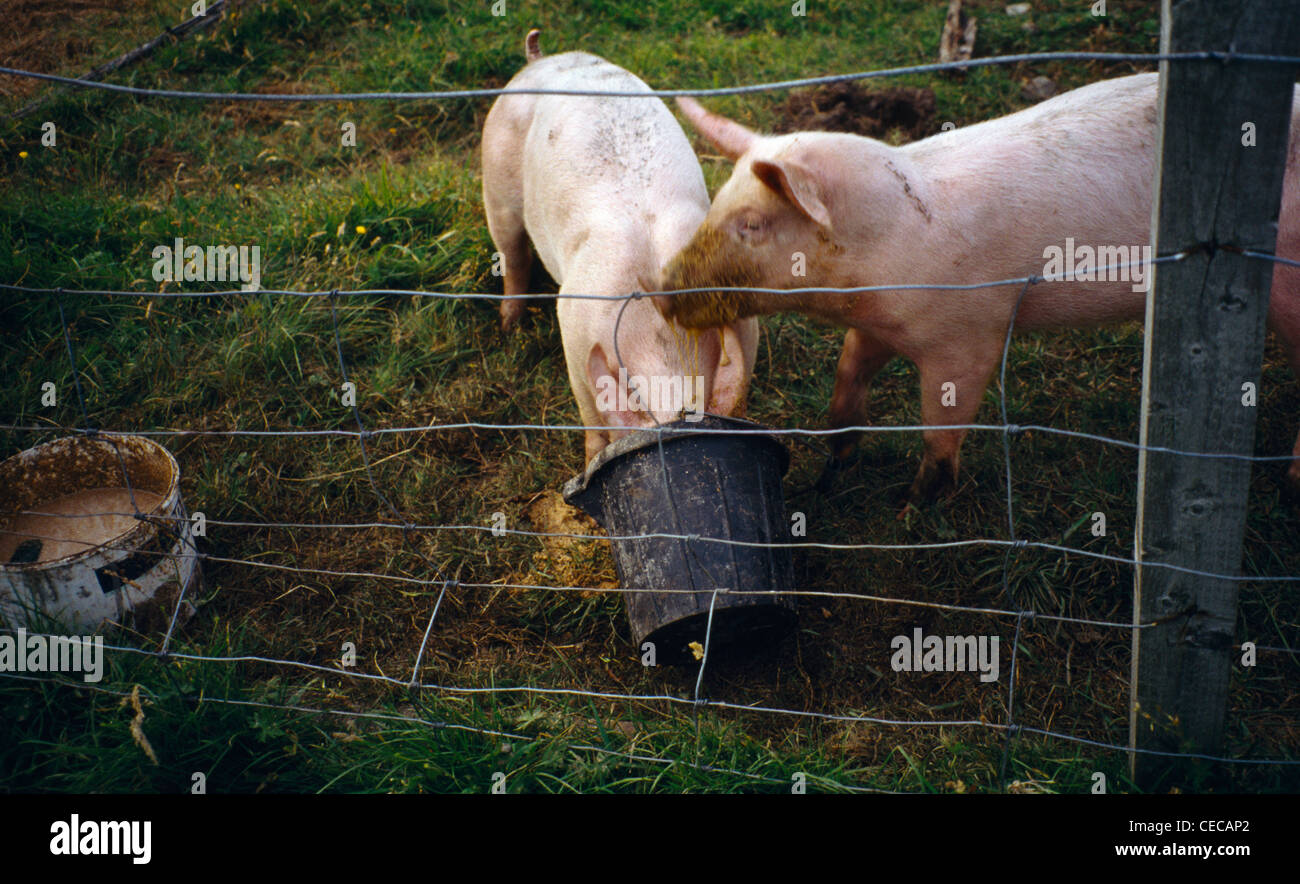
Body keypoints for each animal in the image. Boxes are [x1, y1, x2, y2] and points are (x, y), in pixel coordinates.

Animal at [481, 31, 758, 463]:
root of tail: (541, 60)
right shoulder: (574, 336)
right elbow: (593, 416)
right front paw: (591, 460)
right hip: (496, 180)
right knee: (512, 254)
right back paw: (509, 327)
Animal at [655, 73, 1300, 502]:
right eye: (718, 202)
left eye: (752, 224)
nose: (659, 289)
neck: (883, 249)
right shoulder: (875, 324)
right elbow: (847, 384)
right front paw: (831, 468)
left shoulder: (969, 336)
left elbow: (943, 427)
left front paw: (914, 510)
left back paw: (1290, 479)